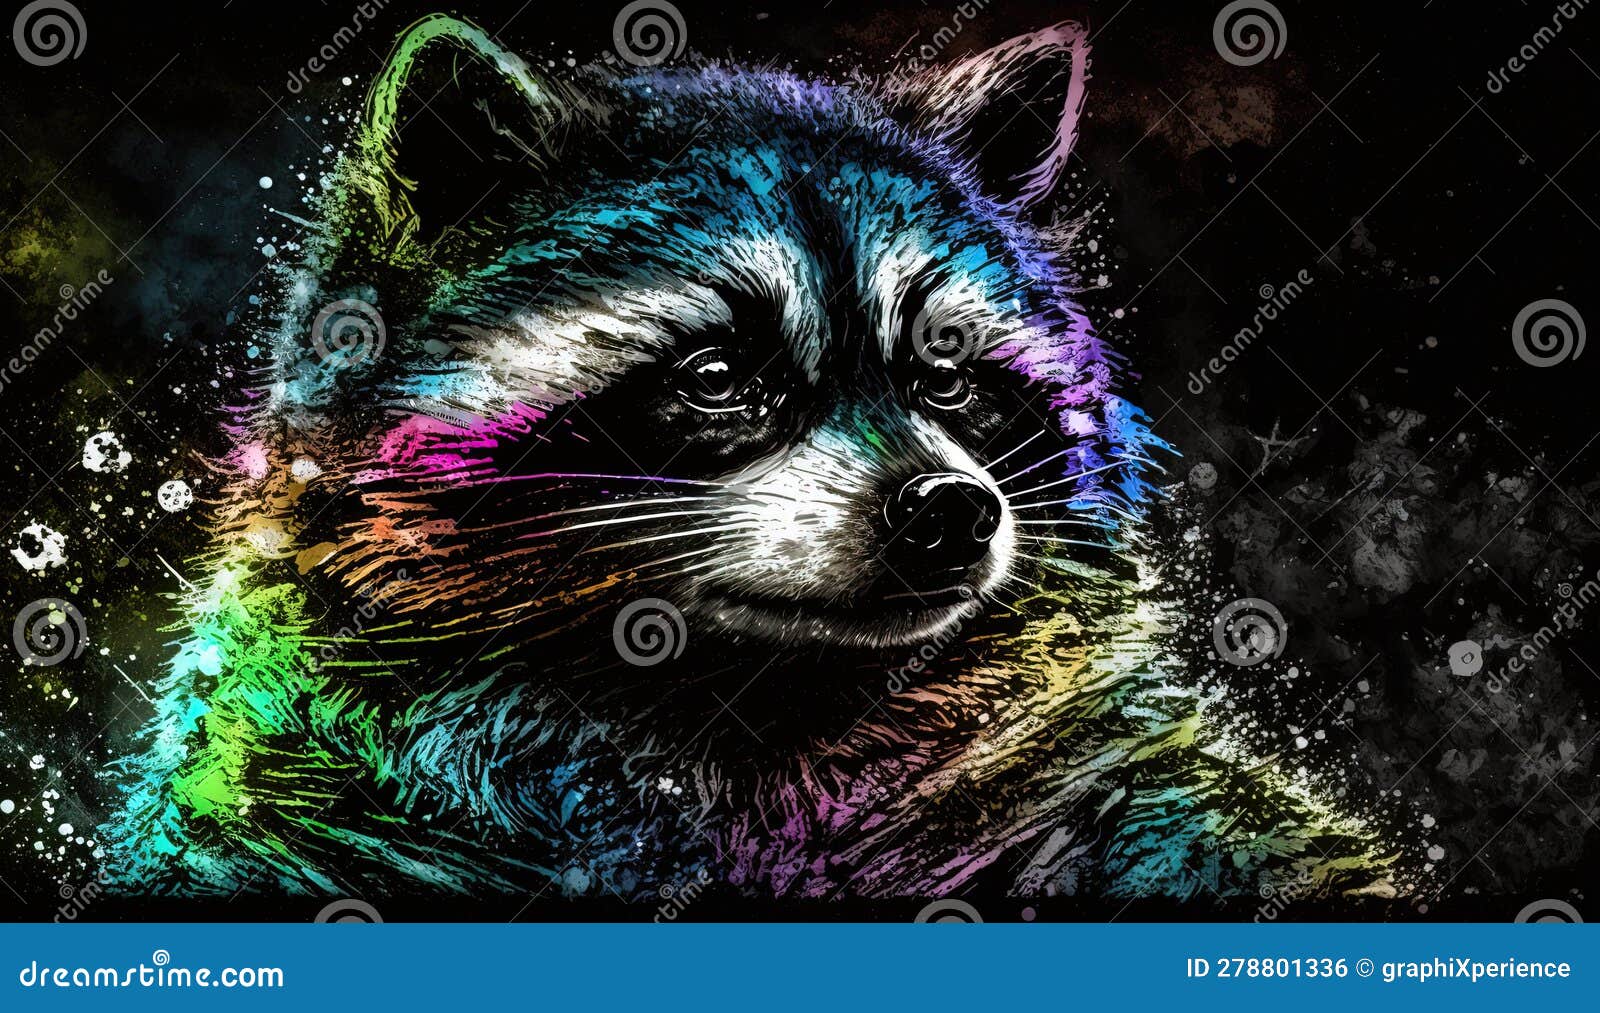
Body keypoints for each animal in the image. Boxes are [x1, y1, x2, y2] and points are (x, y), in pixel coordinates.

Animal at [101, 15, 1395, 905]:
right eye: (718, 375)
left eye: (946, 377)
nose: (949, 510)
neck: (743, 716)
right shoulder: (304, 807)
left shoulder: (1118, 797)